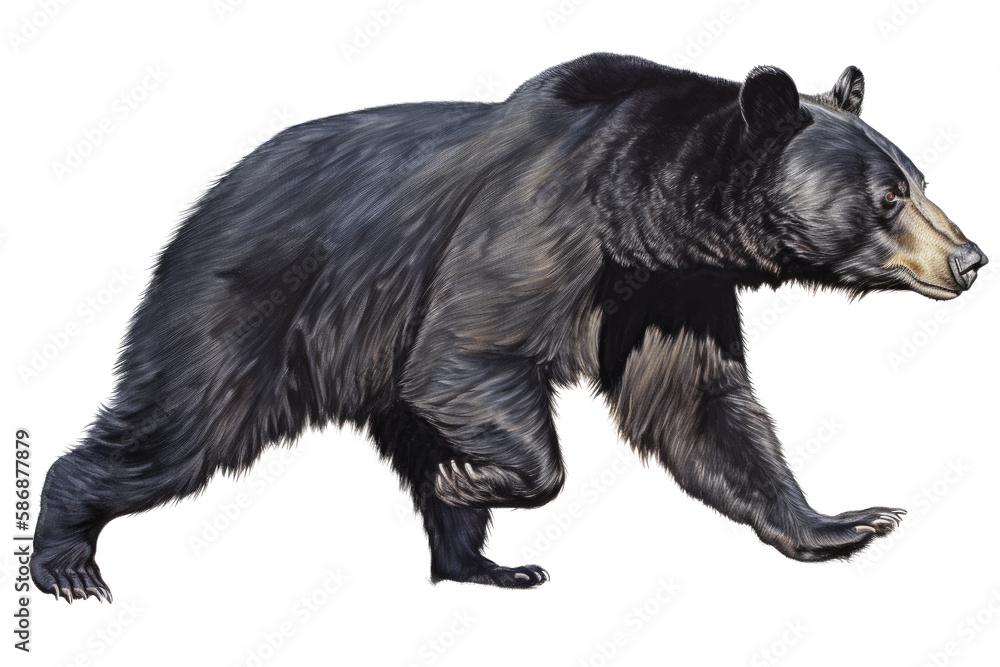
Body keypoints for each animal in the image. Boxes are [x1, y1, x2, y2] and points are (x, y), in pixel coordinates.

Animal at [32, 52, 987, 602]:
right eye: (888, 196)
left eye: (919, 178)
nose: (971, 256)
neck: (642, 212)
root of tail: (207, 199)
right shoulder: (537, 229)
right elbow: (467, 352)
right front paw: (486, 477)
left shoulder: (668, 292)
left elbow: (701, 408)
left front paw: (846, 521)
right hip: (248, 309)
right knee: (183, 423)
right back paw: (68, 559)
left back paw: (483, 563)